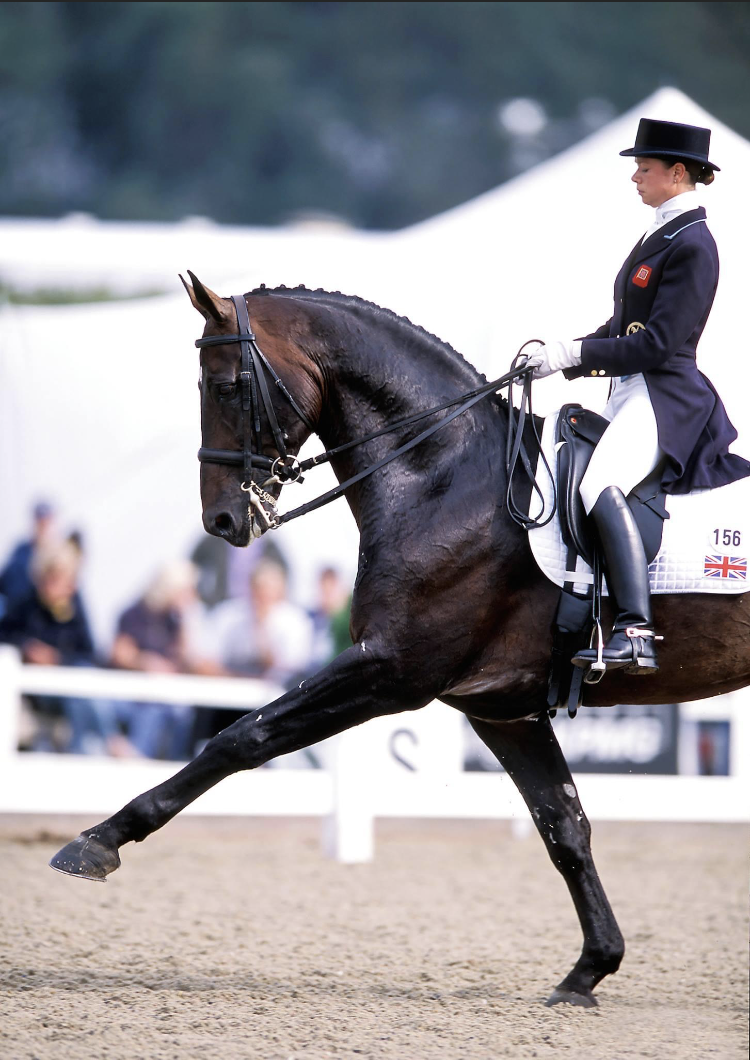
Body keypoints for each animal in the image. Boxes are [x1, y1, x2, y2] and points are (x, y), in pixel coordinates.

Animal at [50, 273, 750, 1008]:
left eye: (225, 385)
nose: (221, 521)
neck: (446, 478)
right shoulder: (502, 708)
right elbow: (564, 827)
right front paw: (591, 968)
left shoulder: (393, 671)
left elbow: (242, 737)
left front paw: (99, 841)